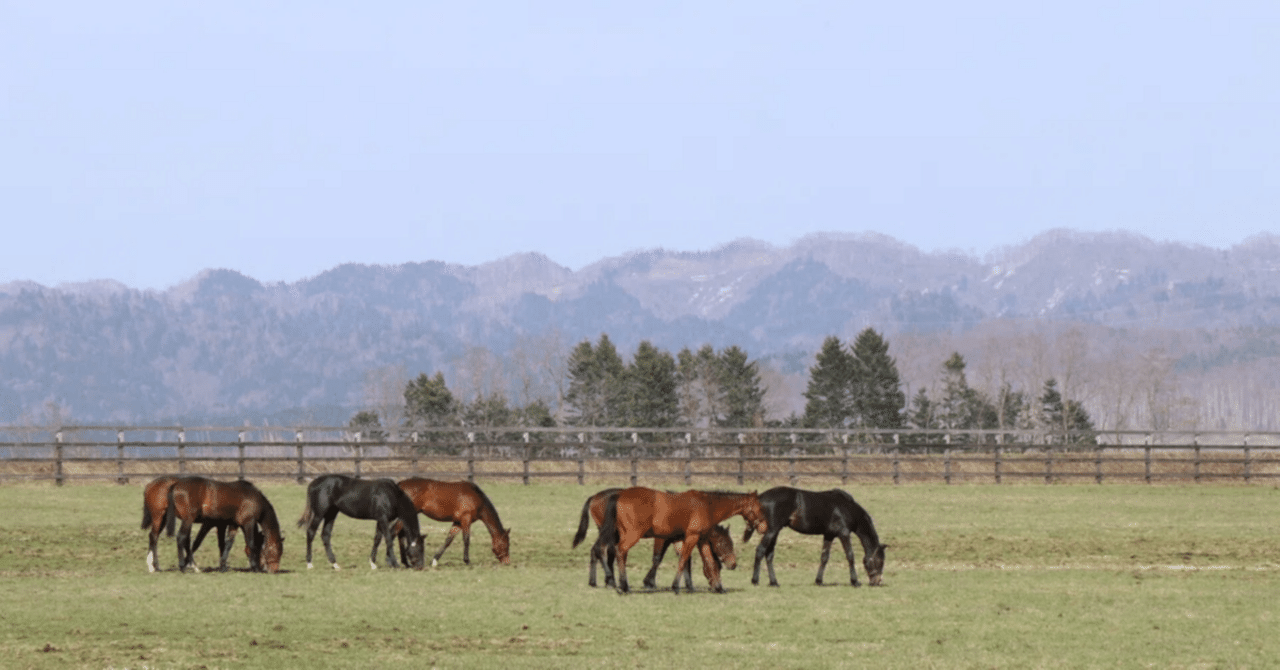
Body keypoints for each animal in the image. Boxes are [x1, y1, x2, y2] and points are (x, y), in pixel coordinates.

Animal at [571, 487, 737, 589]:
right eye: (725, 544)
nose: (733, 564)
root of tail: (594, 497)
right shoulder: (661, 538)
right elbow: (658, 558)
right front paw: (649, 582)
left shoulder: (676, 539)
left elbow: (684, 558)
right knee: (602, 550)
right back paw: (610, 580)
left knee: (598, 551)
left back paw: (598, 581)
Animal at [598, 487, 768, 594]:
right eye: (759, 508)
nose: (764, 527)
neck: (707, 506)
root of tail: (620, 495)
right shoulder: (691, 537)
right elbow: (683, 560)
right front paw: (675, 587)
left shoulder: (701, 539)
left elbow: (709, 561)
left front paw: (719, 588)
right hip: (632, 536)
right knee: (620, 551)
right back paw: (623, 587)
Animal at [743, 486, 887, 587]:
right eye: (880, 561)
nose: (877, 582)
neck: (847, 508)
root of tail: (759, 498)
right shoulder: (844, 533)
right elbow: (850, 556)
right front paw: (855, 581)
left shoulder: (829, 535)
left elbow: (824, 557)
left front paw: (819, 581)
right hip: (772, 531)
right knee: (760, 550)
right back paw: (755, 580)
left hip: (775, 532)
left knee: (769, 555)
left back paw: (774, 582)